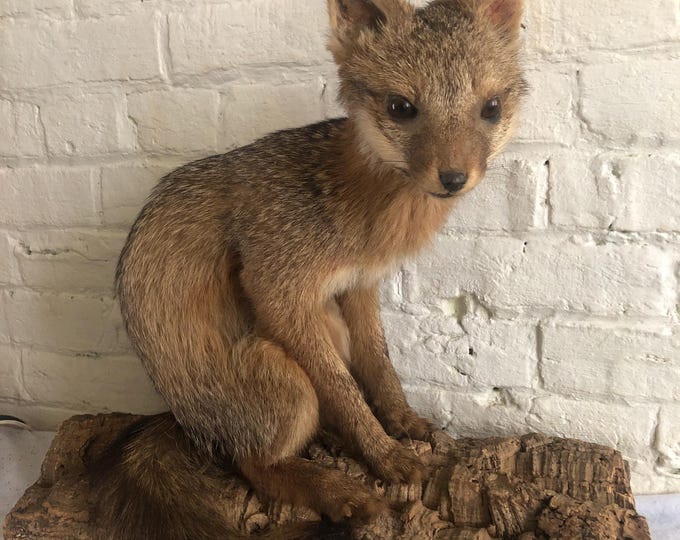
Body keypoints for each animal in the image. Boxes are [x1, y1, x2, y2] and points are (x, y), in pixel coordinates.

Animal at [91, 0, 527, 538]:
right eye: (402, 107)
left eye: (491, 108)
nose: (453, 178)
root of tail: (186, 423)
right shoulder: (277, 291)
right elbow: (343, 388)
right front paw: (384, 454)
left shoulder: (359, 287)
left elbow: (378, 366)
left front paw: (401, 423)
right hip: (285, 379)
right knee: (254, 462)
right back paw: (337, 490)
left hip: (326, 326)